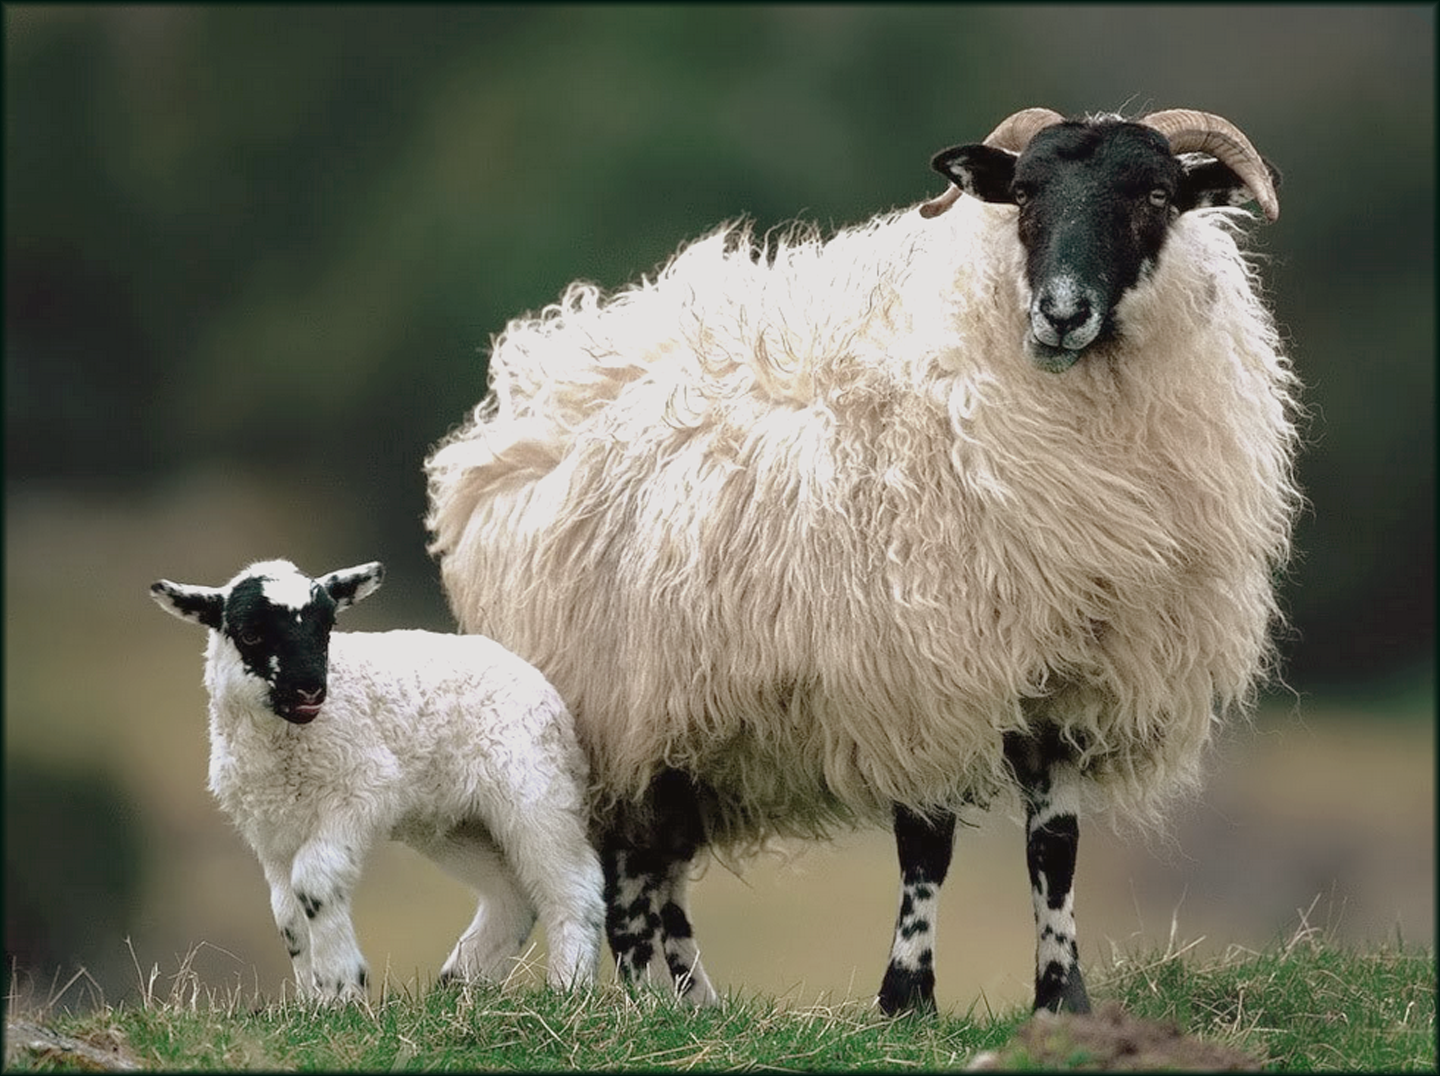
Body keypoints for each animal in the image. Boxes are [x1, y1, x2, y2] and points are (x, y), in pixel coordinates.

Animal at [149, 558, 604, 999]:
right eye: (250, 633)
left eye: (327, 626)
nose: (309, 689)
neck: (285, 747)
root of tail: (541, 682)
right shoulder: (270, 832)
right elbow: (287, 915)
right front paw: (310, 999)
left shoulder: (360, 790)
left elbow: (314, 882)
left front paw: (342, 986)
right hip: (457, 824)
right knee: (511, 893)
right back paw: (458, 986)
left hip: (534, 789)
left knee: (575, 885)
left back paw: (567, 987)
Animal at [423, 107, 1301, 1015]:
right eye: (1024, 194)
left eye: (1157, 194)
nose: (1060, 312)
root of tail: (536, 378)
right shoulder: (915, 670)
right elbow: (927, 845)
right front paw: (906, 997)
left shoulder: (1067, 685)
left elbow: (1054, 850)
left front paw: (1062, 998)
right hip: (619, 707)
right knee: (630, 870)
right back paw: (647, 1003)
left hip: (683, 723)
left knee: (661, 870)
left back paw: (699, 1002)